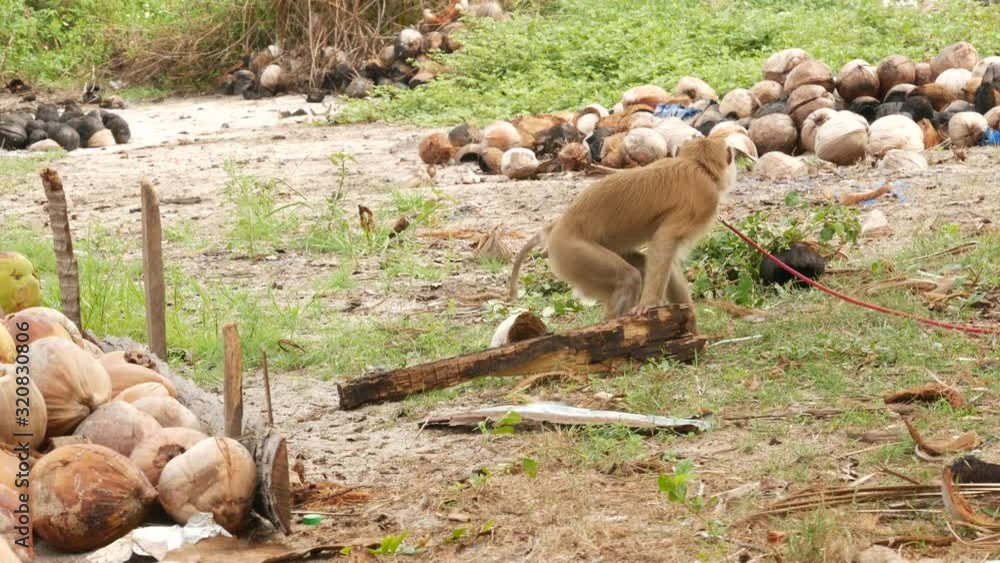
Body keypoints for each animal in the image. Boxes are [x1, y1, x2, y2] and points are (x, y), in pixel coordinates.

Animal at [508, 137, 738, 324]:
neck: (697, 165)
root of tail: (558, 226)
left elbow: (664, 255)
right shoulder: (704, 197)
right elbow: (664, 240)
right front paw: (649, 303)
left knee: (642, 265)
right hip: (572, 254)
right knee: (629, 279)